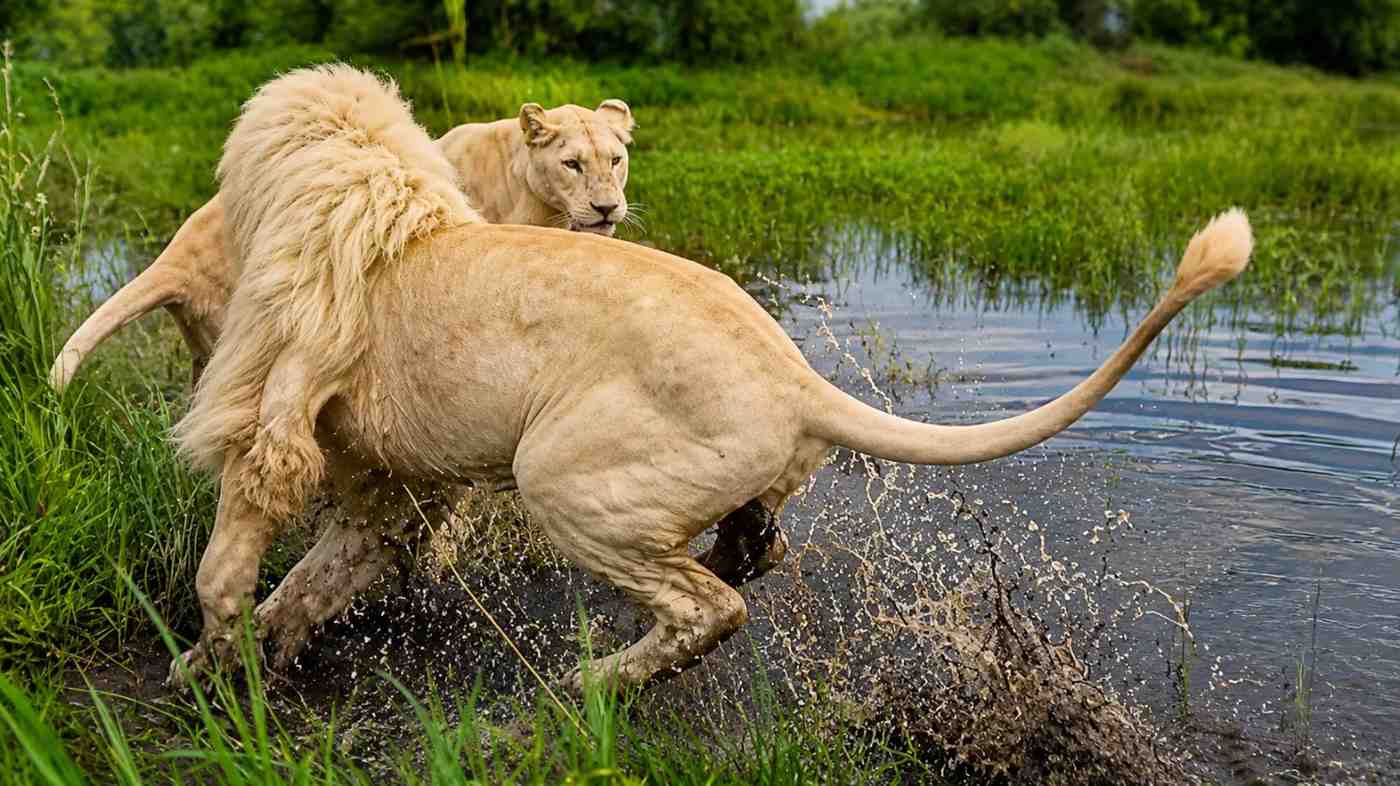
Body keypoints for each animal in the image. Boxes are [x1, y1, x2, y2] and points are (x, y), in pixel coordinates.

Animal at [167, 65, 1253, 695]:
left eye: (608, 162)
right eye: (577, 165)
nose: (606, 200)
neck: (355, 176)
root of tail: (794, 376)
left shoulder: (273, 414)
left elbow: (228, 561)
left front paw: (214, 672)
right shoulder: (382, 480)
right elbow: (315, 576)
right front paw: (251, 654)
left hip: (564, 475)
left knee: (709, 611)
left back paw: (584, 687)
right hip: (718, 485)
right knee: (749, 557)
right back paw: (697, 588)